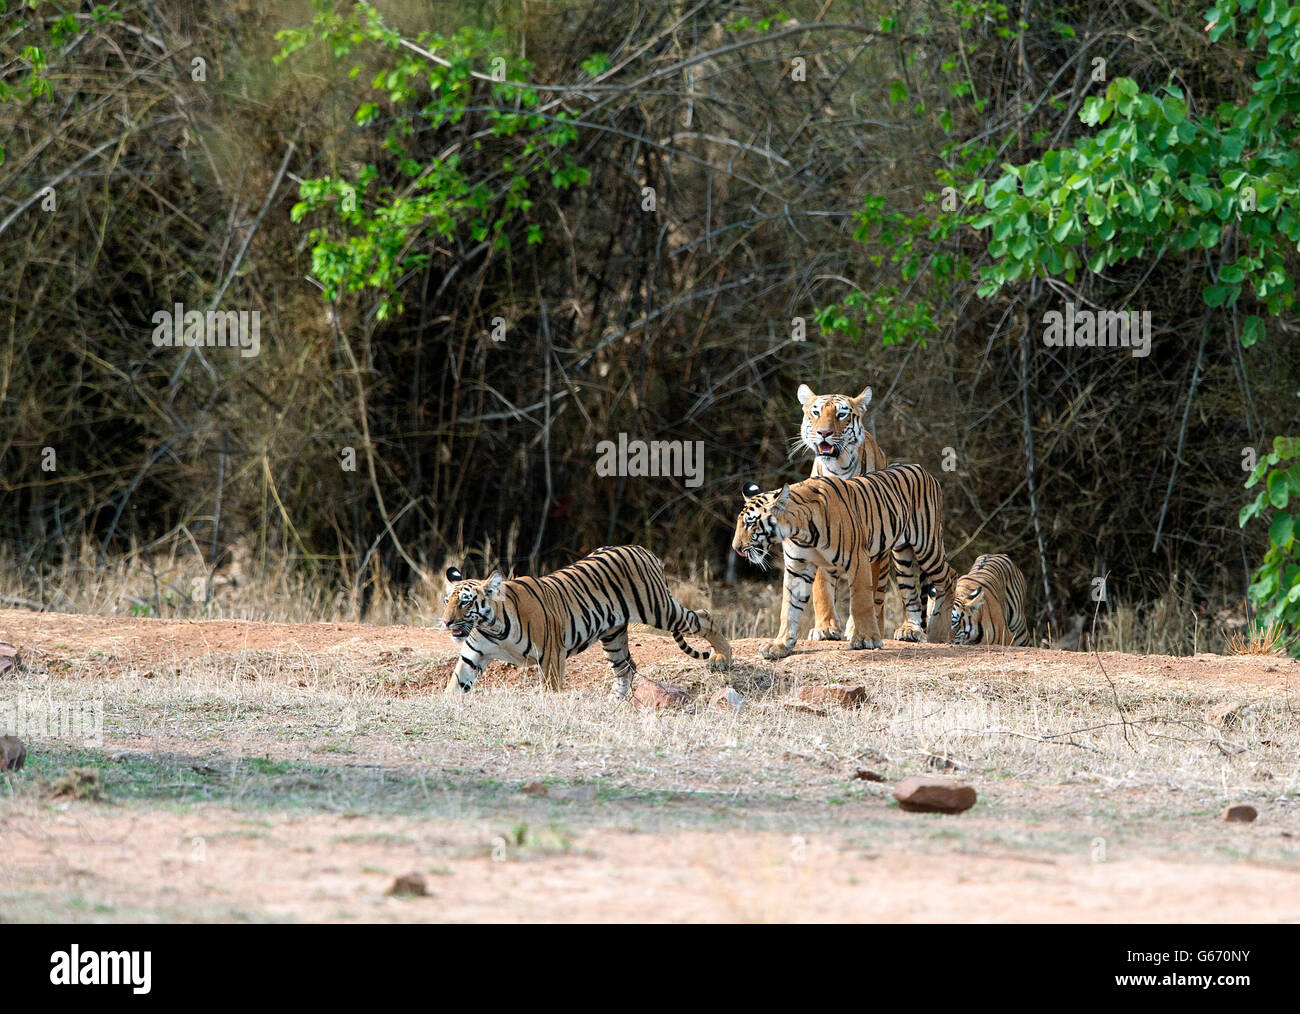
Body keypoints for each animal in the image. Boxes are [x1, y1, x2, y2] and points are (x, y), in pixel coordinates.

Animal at [439, 544, 732, 695]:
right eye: (446, 601)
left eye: (465, 602)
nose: (445, 623)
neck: (492, 628)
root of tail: (643, 550)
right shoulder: (472, 655)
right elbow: (455, 685)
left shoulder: (551, 656)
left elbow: (551, 691)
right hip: (613, 635)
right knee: (626, 668)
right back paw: (615, 706)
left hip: (659, 609)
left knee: (703, 617)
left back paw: (723, 657)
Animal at [732, 463, 957, 660]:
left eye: (750, 524)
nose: (736, 548)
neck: (798, 531)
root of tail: (922, 469)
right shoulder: (798, 567)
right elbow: (789, 609)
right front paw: (779, 645)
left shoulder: (858, 560)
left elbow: (860, 602)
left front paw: (865, 639)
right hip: (903, 557)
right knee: (911, 594)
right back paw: (910, 631)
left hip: (927, 545)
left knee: (949, 577)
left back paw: (942, 630)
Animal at [796, 383, 895, 642]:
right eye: (816, 413)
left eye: (841, 414)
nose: (823, 433)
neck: (837, 468)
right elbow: (821, 589)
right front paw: (825, 628)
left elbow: (868, 591)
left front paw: (856, 629)